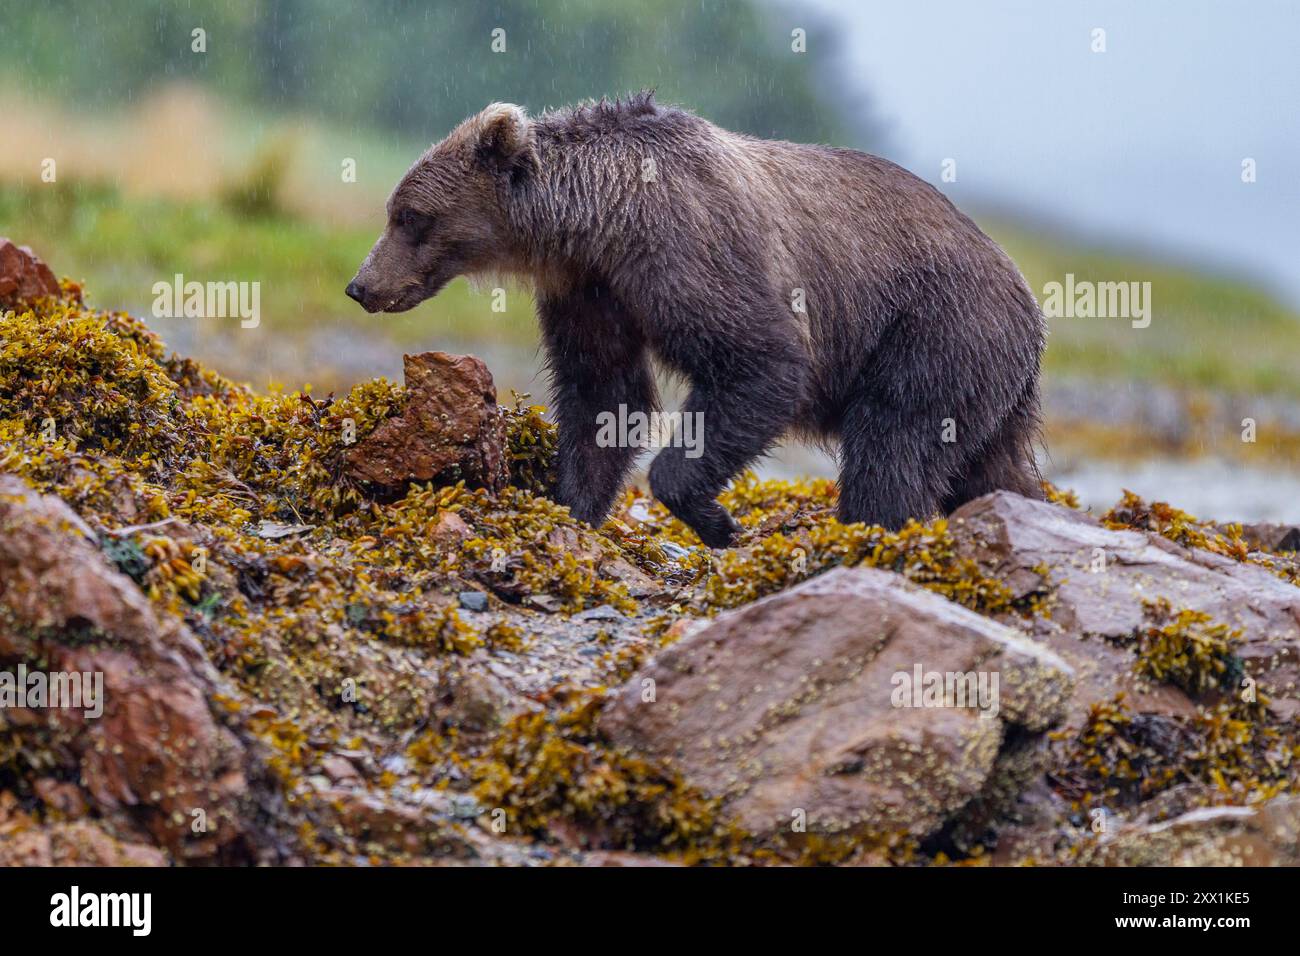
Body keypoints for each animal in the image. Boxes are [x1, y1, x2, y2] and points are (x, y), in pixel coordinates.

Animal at [347, 93, 1044, 548]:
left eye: (409, 216)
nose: (361, 285)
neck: (598, 222)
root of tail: (1029, 302)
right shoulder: (591, 289)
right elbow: (605, 392)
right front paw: (570, 504)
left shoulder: (687, 247)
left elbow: (761, 361)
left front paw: (718, 521)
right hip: (987, 383)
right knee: (988, 467)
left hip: (934, 329)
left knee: (893, 444)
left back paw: (868, 532)